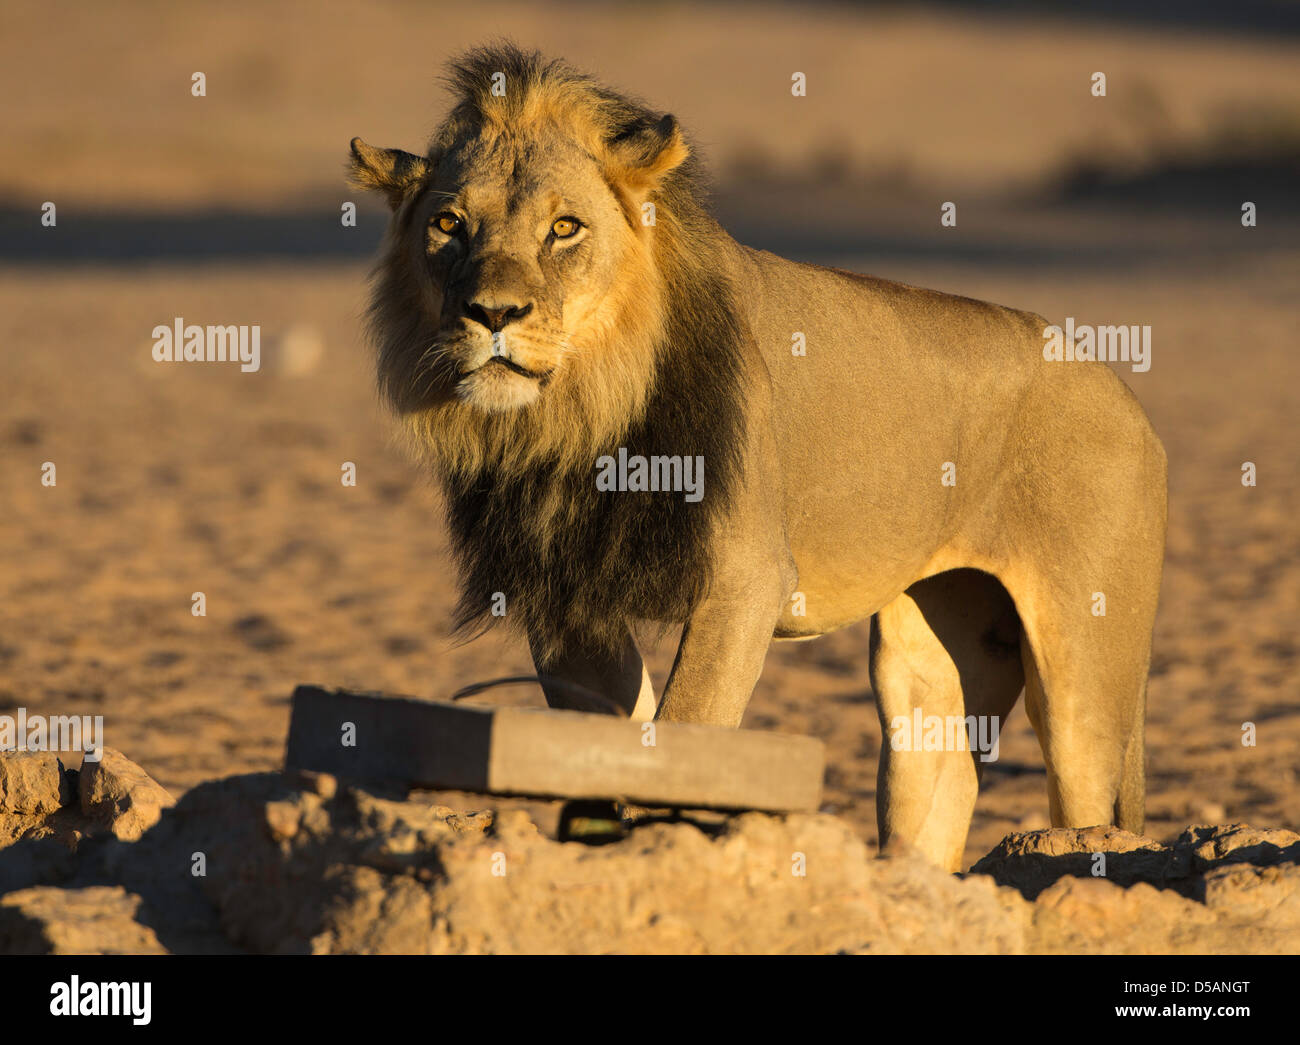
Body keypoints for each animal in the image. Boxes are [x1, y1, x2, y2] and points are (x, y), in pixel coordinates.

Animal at [349, 44, 1167, 871]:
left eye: (565, 228)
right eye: (449, 225)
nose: (492, 313)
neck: (579, 414)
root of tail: (1124, 394)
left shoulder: (745, 578)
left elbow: (690, 723)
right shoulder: (564, 594)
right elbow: (621, 735)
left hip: (1084, 669)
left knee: (1093, 799)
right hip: (926, 655)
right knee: (937, 779)